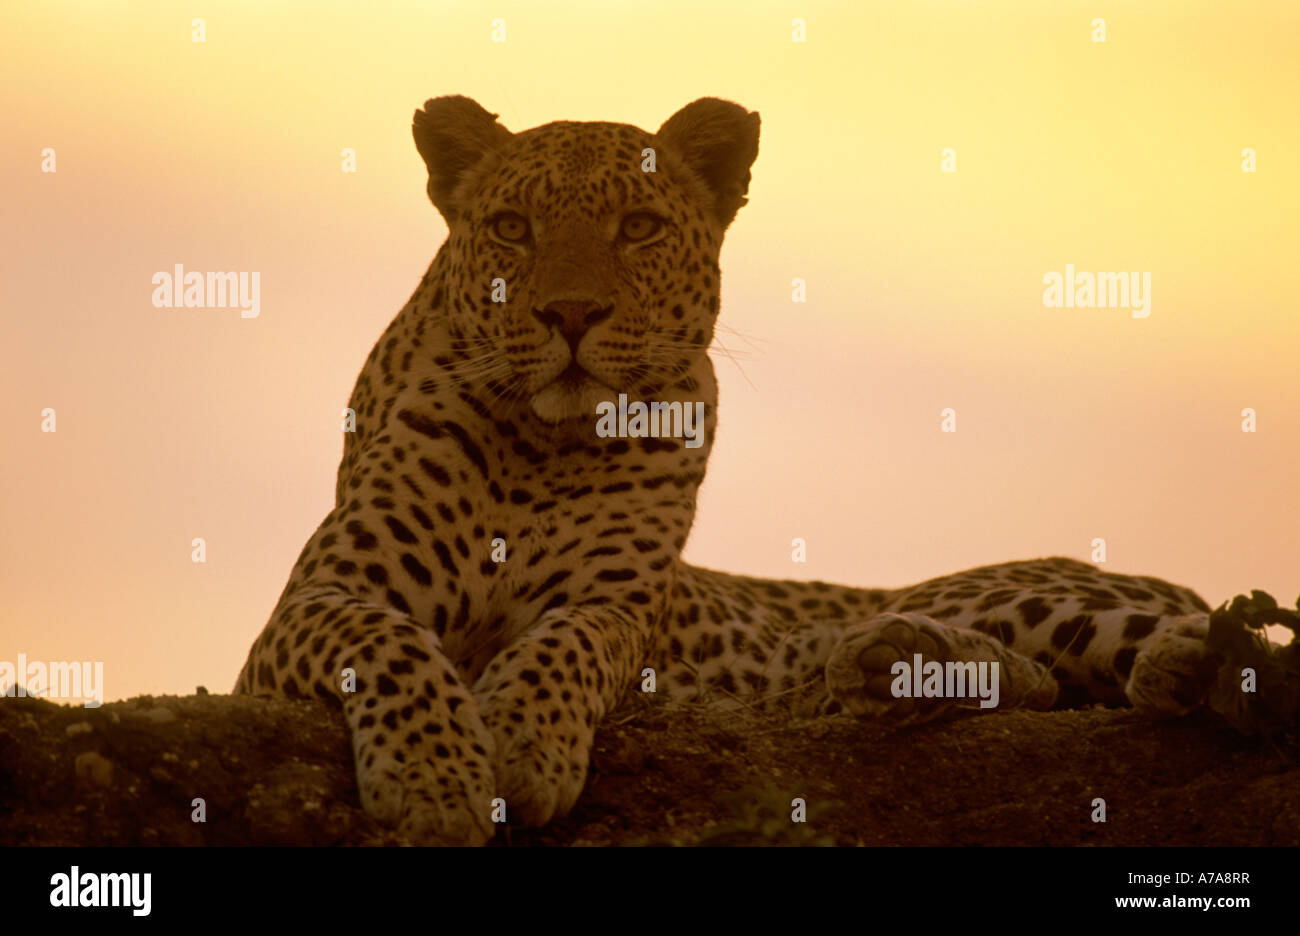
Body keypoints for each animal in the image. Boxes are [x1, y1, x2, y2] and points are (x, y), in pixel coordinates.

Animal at [235, 94, 1225, 845]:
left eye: (638, 227)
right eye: (512, 228)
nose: (570, 313)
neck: (543, 448)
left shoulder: (616, 613)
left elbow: (566, 643)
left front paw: (517, 740)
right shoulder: (312, 607)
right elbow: (389, 644)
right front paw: (435, 780)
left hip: (1026, 596)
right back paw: (882, 667)